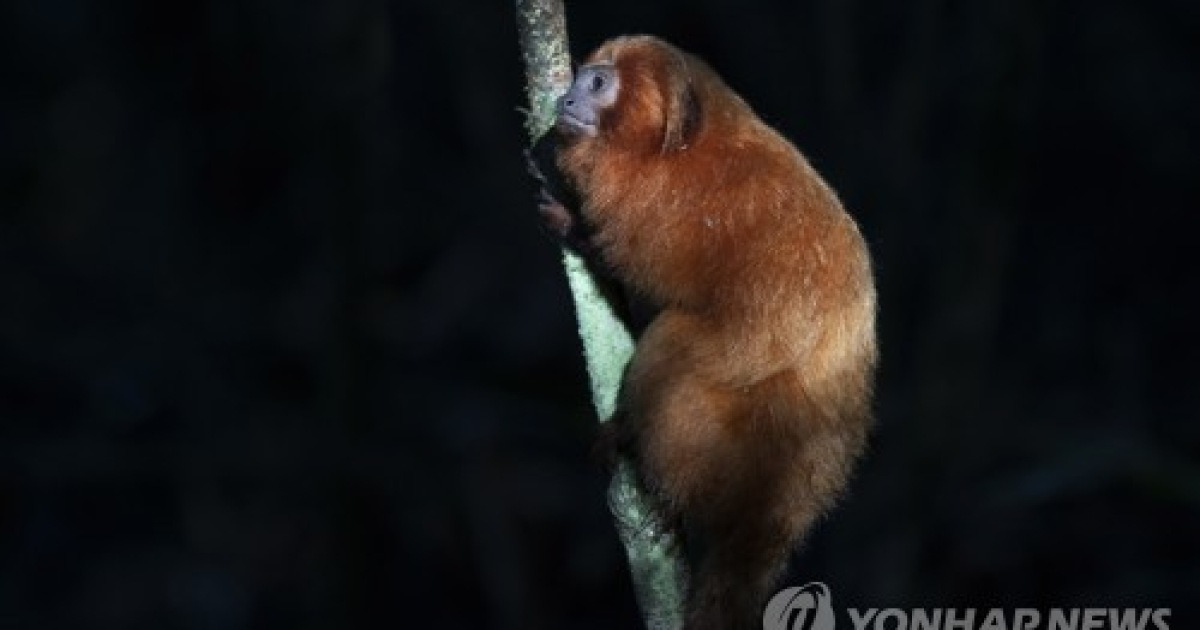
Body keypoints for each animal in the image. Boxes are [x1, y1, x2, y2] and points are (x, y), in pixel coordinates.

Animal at [528, 36, 877, 630]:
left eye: (598, 84)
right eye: (580, 79)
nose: (568, 97)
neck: (670, 153)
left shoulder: (663, 208)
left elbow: (638, 269)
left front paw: (568, 219)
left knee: (671, 341)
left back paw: (630, 439)